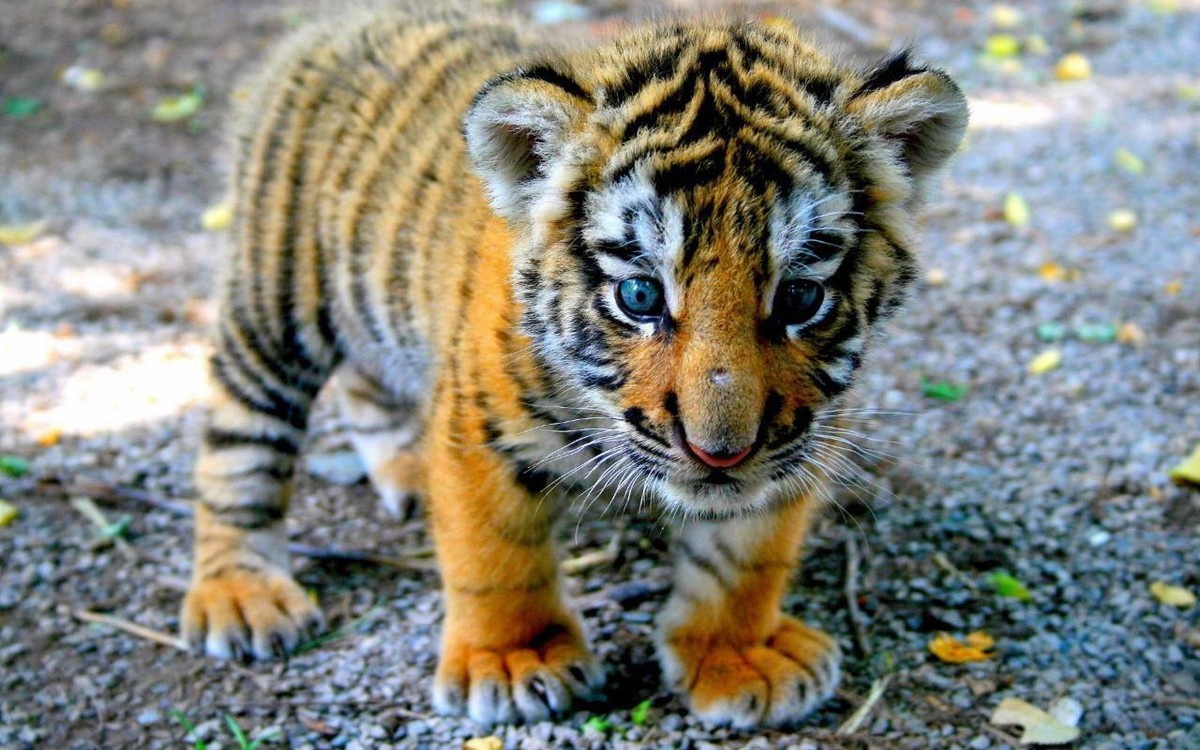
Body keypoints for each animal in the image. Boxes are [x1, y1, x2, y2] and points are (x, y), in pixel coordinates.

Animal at [181, 3, 967, 728]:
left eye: (801, 297)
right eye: (639, 295)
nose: (720, 453)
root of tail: (340, 22)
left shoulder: (801, 435)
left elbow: (746, 554)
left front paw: (737, 654)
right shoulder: (480, 426)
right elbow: (495, 554)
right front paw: (513, 659)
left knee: (366, 386)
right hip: (274, 303)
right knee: (239, 445)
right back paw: (242, 594)